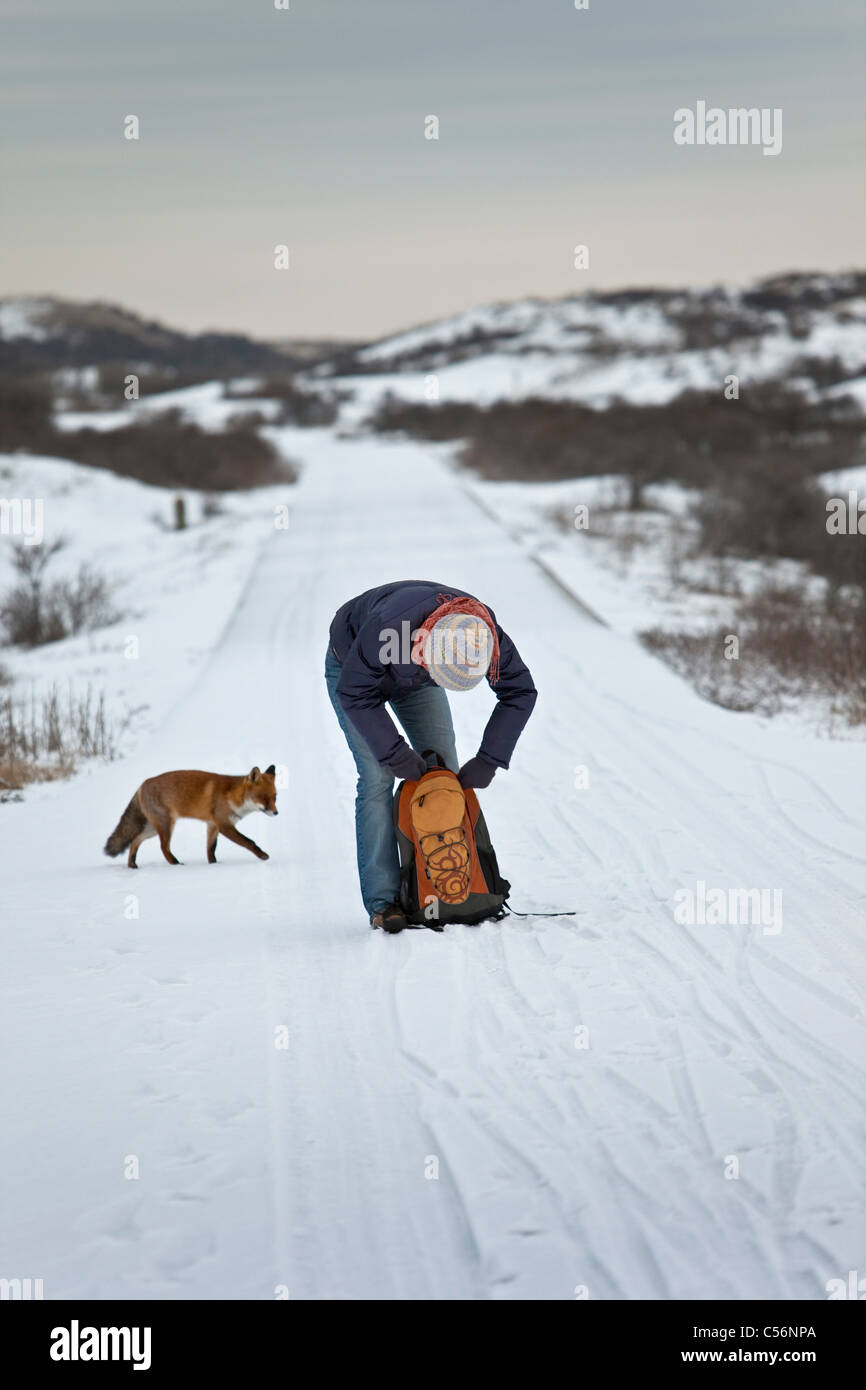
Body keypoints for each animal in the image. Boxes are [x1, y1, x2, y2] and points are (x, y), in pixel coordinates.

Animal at [104, 761, 278, 867]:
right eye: (263, 798)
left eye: (275, 797)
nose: (276, 812)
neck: (234, 797)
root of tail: (141, 785)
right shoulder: (224, 825)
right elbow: (249, 842)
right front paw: (263, 856)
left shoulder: (212, 825)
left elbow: (211, 849)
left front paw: (213, 865)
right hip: (166, 826)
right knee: (163, 847)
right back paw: (176, 864)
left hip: (152, 829)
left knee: (135, 840)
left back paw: (132, 865)